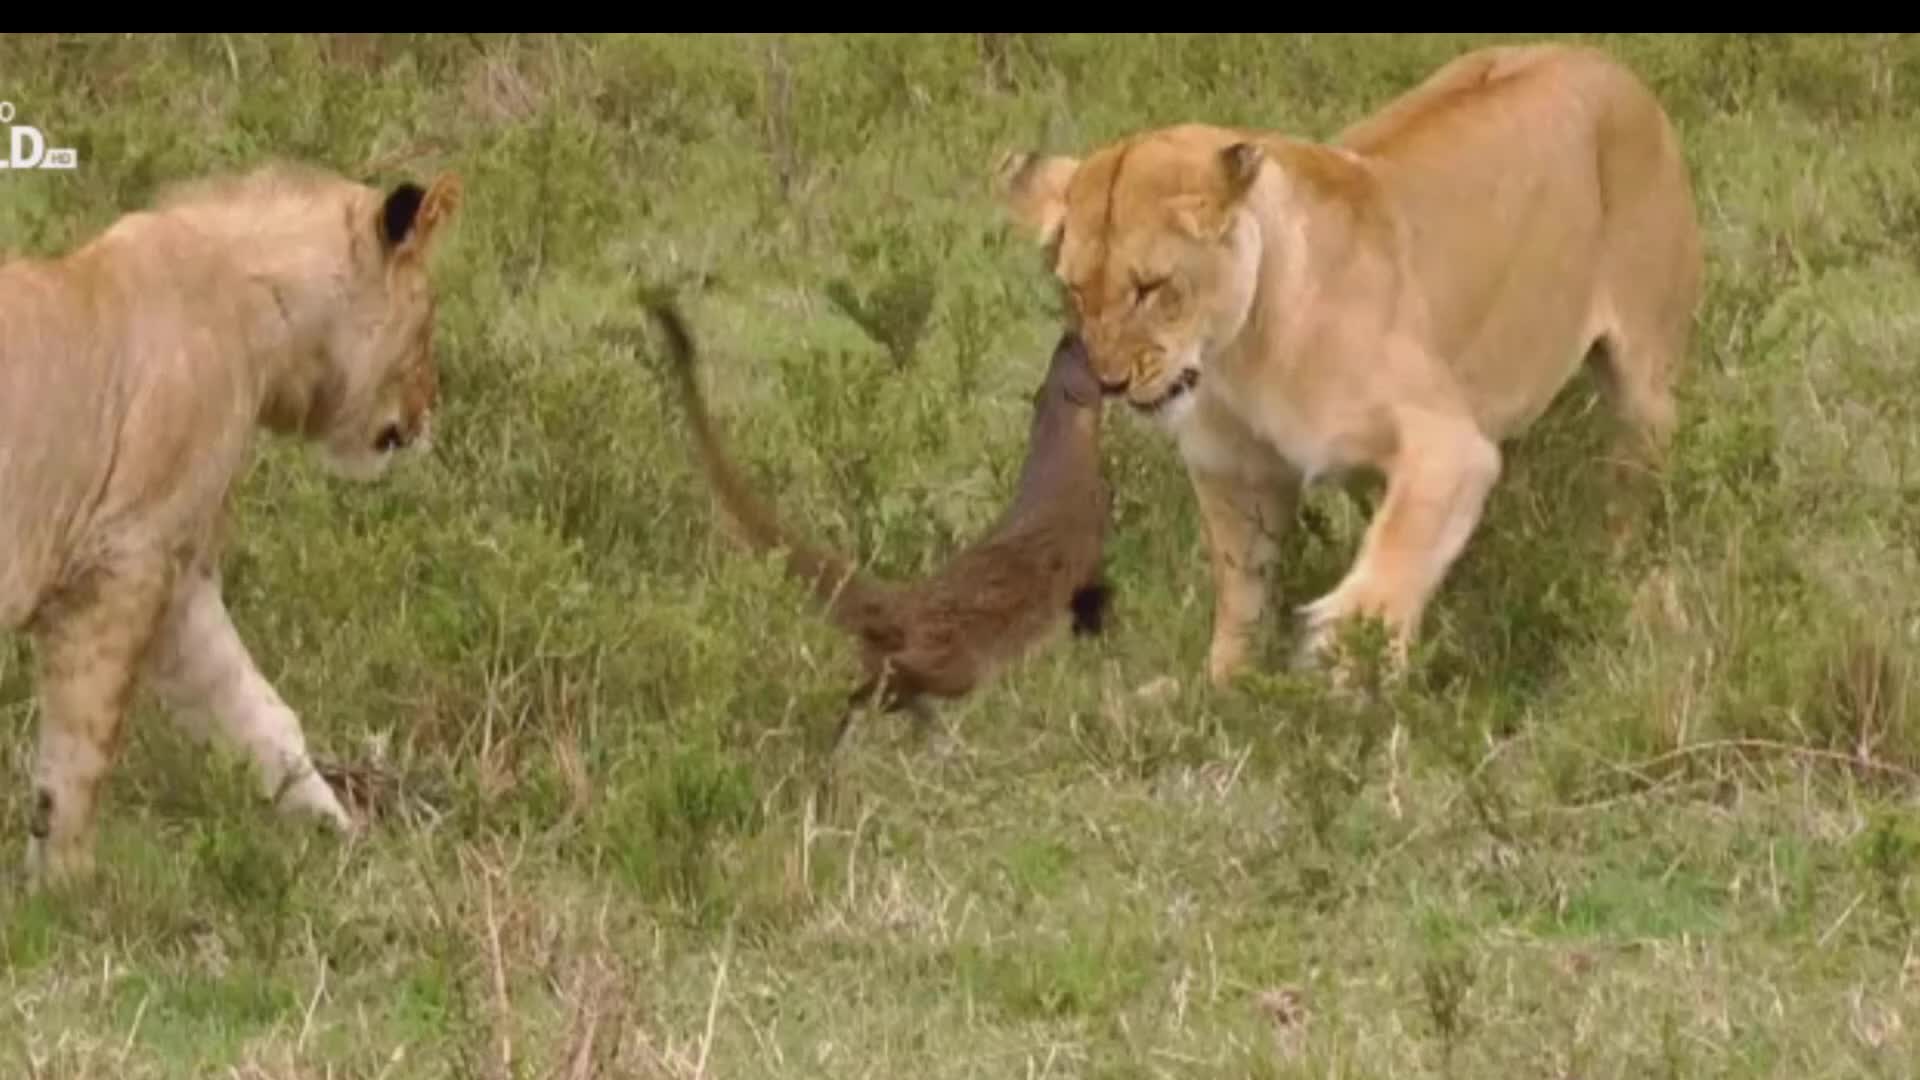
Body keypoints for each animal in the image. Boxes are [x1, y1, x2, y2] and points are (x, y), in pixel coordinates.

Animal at [0, 160, 461, 888]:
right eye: (427, 324)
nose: (429, 411)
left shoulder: (181, 586)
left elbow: (260, 713)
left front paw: (339, 835)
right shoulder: (122, 559)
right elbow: (82, 748)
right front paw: (65, 887)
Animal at [991, 41, 1703, 686]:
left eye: (1150, 287)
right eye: (1075, 290)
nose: (1109, 383)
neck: (1235, 361)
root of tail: (1605, 62)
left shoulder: (1449, 445)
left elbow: (1397, 548)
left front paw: (1343, 645)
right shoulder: (1234, 473)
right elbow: (1241, 592)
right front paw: (1224, 690)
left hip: (1644, 383)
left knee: (1636, 484)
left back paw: (1620, 570)